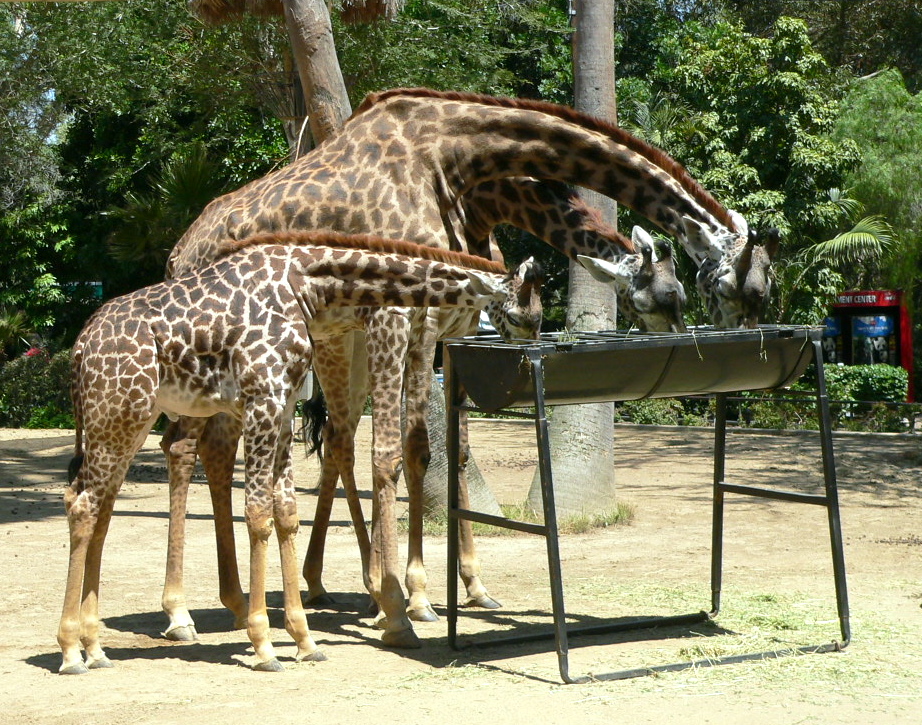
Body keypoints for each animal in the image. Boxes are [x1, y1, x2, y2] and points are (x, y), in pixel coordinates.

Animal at [57, 230, 535, 674]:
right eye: (519, 305)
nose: (531, 338)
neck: (306, 283)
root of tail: (78, 349)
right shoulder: (263, 396)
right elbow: (257, 512)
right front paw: (265, 645)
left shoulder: (284, 403)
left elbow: (286, 511)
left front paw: (305, 640)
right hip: (120, 415)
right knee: (85, 505)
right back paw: (72, 650)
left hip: (126, 420)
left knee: (98, 508)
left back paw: (95, 649)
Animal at [160, 87, 769, 647]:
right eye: (676, 297)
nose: (735, 340)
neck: (457, 164)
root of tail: (178, 251)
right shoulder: (398, 315)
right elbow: (392, 453)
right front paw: (397, 606)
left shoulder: (444, 328)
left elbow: (438, 449)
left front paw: (442, 590)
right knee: (187, 446)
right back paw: (184, 611)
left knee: (268, 444)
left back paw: (248, 600)